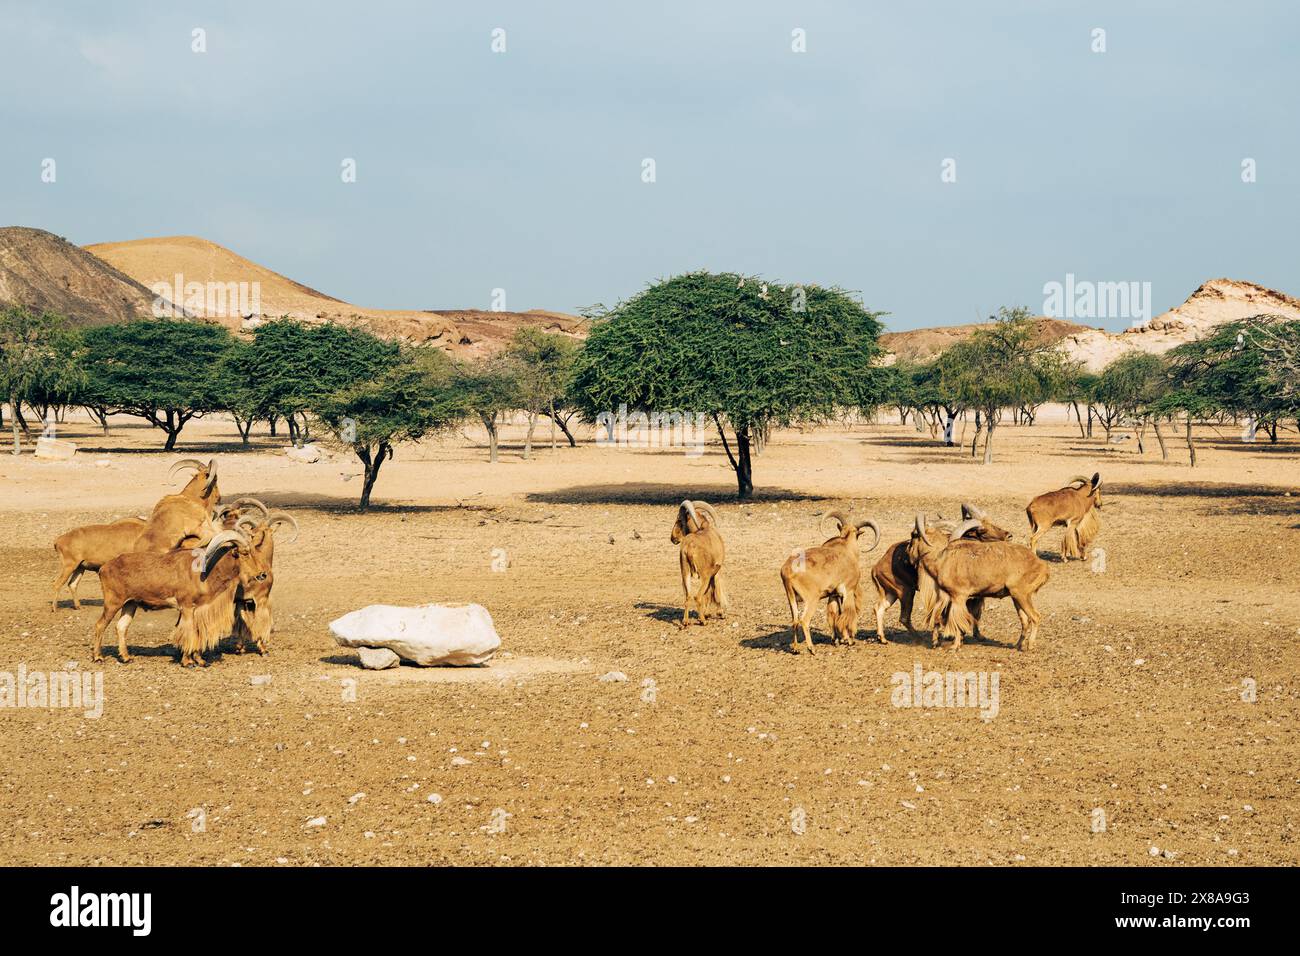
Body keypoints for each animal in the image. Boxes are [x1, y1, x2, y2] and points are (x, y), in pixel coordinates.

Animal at [93, 529, 271, 666]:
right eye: (245, 553)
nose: (262, 574)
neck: (205, 572)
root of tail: (104, 567)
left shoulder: (199, 608)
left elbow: (198, 631)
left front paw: (200, 660)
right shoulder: (186, 606)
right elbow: (189, 630)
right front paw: (187, 661)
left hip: (130, 604)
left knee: (121, 627)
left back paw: (126, 657)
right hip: (113, 602)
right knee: (100, 625)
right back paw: (98, 657)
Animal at [779, 512, 881, 654]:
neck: (847, 548)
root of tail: (787, 570)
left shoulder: (833, 594)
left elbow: (833, 613)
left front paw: (836, 640)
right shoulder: (848, 590)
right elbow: (847, 614)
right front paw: (849, 640)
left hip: (791, 598)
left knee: (794, 620)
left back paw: (795, 648)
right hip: (811, 599)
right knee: (804, 620)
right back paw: (811, 648)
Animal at [869, 503, 1011, 644]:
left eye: (991, 522)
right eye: (982, 530)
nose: (1008, 535)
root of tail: (877, 566)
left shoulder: (974, 596)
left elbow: (974, 614)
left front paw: (978, 636)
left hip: (892, 593)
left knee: (879, 608)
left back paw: (882, 638)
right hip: (906, 592)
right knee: (904, 617)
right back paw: (919, 638)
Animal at [908, 514, 1050, 651]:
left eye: (913, 535)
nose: (908, 552)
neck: (941, 556)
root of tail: (1044, 567)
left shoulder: (959, 596)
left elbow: (958, 621)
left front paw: (954, 646)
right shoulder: (949, 596)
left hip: (1021, 594)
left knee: (1035, 617)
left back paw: (1030, 646)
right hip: (1016, 597)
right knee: (1025, 620)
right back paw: (1018, 645)